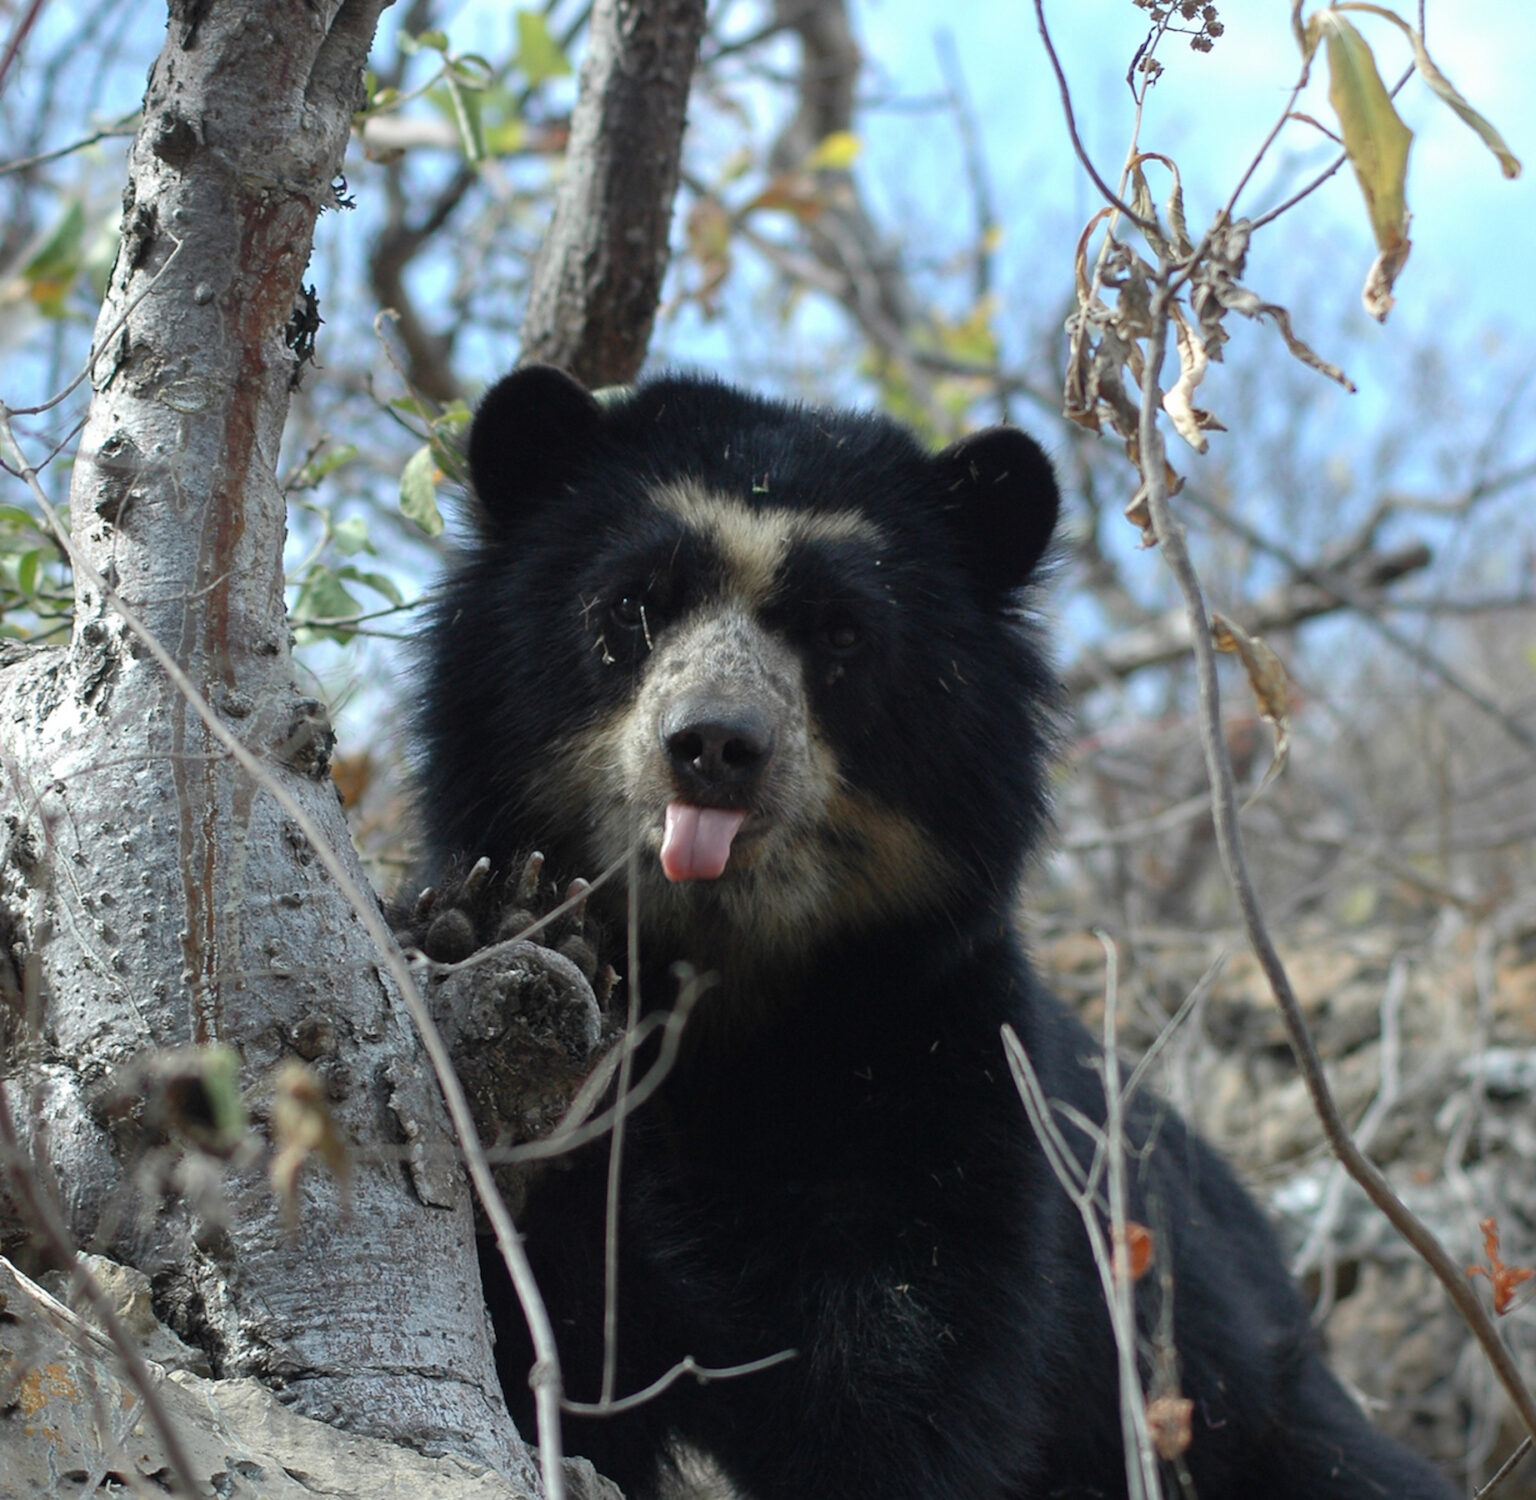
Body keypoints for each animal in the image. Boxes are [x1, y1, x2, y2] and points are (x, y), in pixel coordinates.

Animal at [410, 363, 1455, 1500]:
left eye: (840, 633)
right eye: (632, 606)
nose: (716, 746)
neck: (728, 972)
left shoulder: (938, 1071)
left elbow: (904, 1379)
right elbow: (530, 1356)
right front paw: (501, 934)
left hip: (1245, 1398)